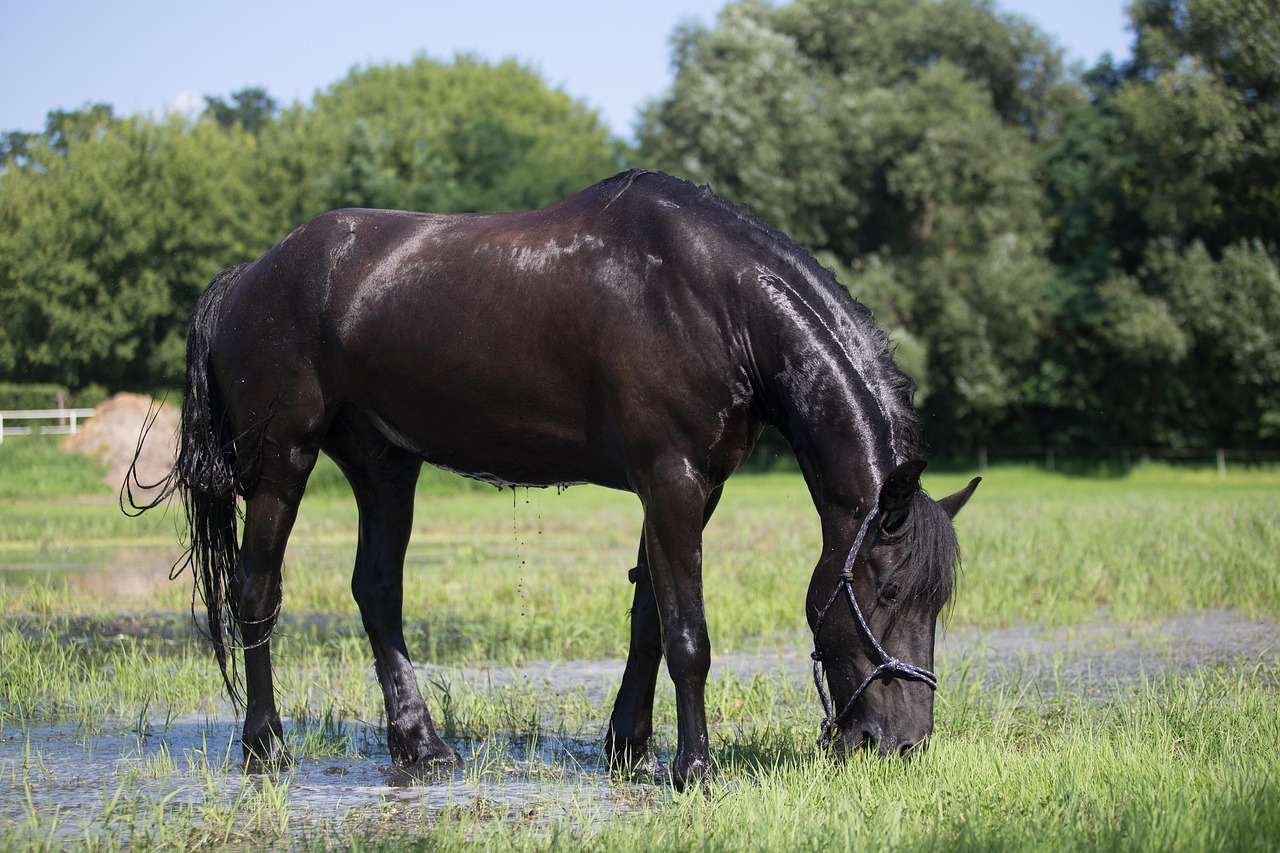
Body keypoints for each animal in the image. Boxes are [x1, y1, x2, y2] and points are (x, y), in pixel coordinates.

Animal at [130, 169, 978, 791]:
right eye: (889, 591)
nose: (904, 743)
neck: (710, 297)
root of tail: (248, 275)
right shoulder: (671, 480)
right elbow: (689, 635)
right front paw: (694, 769)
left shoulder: (686, 488)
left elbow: (649, 617)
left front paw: (630, 745)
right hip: (283, 463)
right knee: (256, 592)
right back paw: (266, 747)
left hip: (384, 465)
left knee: (377, 593)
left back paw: (421, 745)